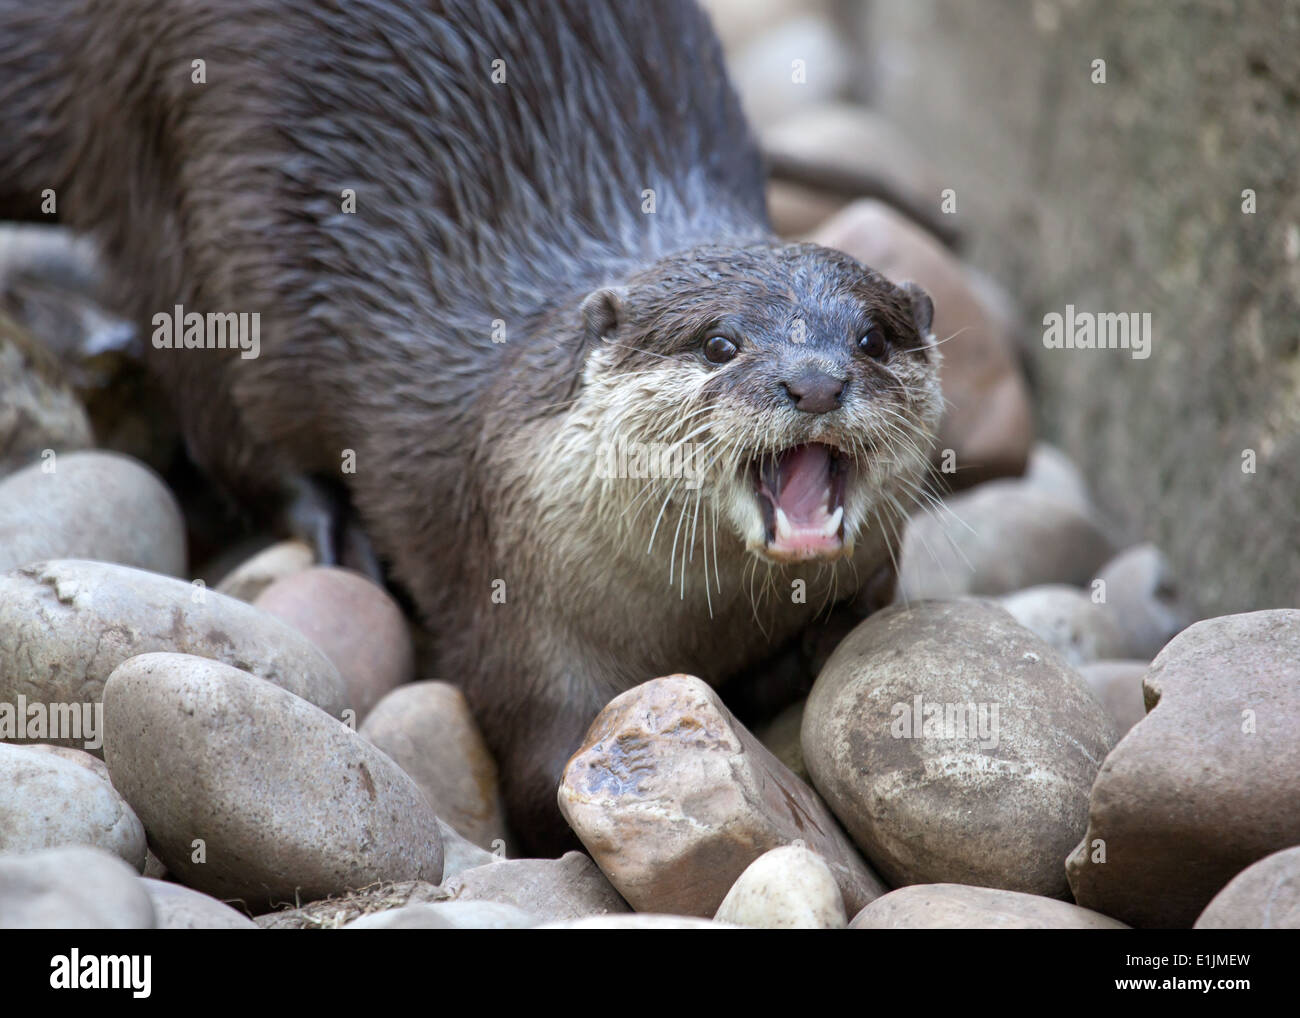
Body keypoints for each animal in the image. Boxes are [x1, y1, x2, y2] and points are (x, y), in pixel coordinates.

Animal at [0, 0, 943, 853]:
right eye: (720, 343)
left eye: (872, 338)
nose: (814, 381)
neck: (702, 623)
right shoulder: (517, 618)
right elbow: (541, 775)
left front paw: (816, 649)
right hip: (181, 198)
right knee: (220, 404)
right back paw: (333, 530)